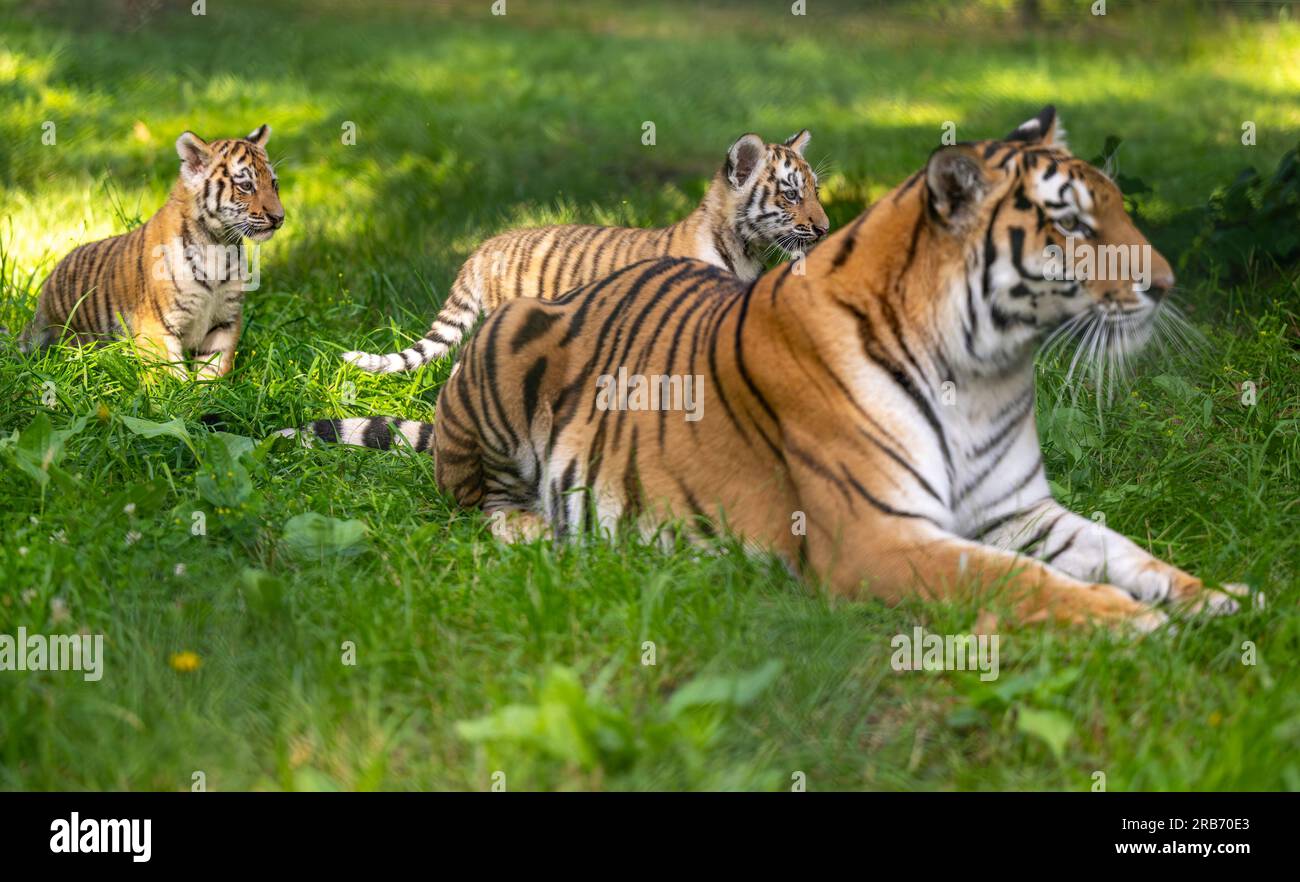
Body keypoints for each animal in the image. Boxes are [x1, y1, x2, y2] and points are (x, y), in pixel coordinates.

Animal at [16, 125, 284, 379]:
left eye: (274, 184)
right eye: (246, 186)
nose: (279, 218)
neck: (219, 243)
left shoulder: (225, 321)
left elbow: (213, 368)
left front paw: (210, 393)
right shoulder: (157, 325)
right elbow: (172, 377)